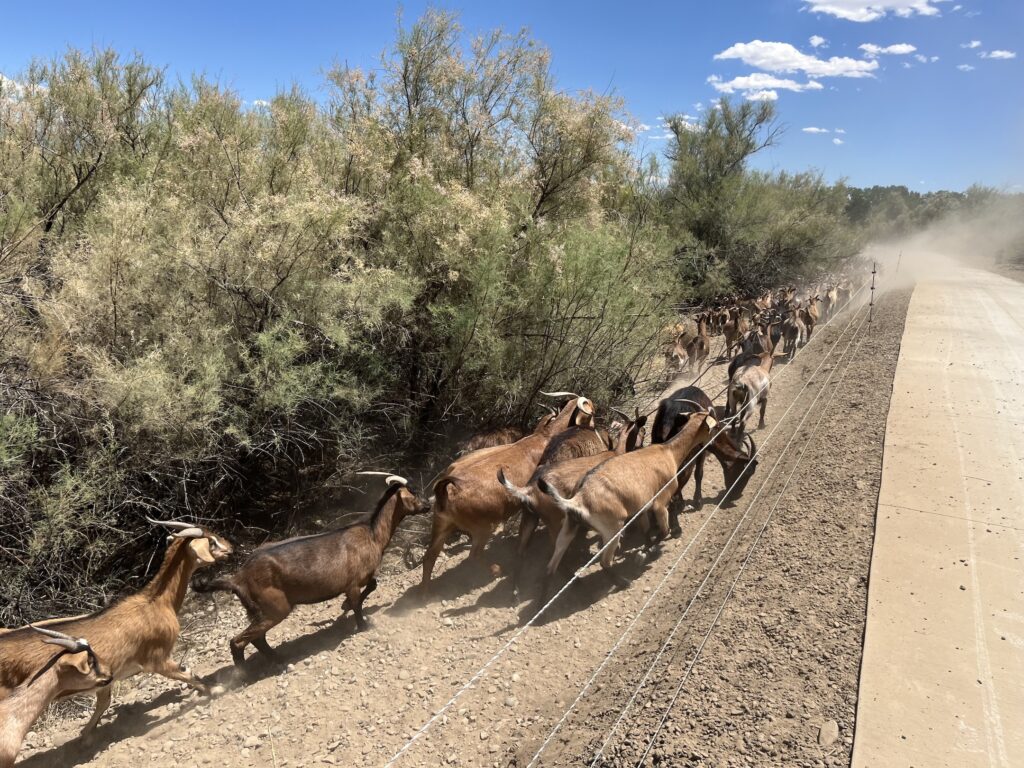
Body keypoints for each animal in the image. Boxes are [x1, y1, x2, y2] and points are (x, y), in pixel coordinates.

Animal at [0, 520, 232, 740]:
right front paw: (215, 689)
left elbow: (104, 703)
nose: (230, 548)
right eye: (211, 541)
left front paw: (86, 736)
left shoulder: (106, 678)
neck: (155, 602)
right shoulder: (156, 659)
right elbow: (187, 673)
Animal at [196, 474, 428, 665]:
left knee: (257, 639)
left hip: (259, 611)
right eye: (414, 493)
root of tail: (238, 578)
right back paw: (244, 673)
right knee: (238, 641)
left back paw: (278, 659)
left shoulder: (360, 580)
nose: (428, 505)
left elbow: (371, 586)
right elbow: (357, 604)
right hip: (274, 608)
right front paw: (362, 625)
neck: (372, 534)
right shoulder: (352, 583)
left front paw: (344, 605)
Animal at [419, 393, 595, 594]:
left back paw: (424, 593)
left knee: (429, 556)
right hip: (483, 528)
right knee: (474, 554)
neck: (544, 437)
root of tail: (447, 490)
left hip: (442, 526)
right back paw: (496, 570)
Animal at [498, 408, 646, 600]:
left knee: (520, 550)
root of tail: (529, 490)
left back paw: (516, 591)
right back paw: (576, 582)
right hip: (555, 521)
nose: (643, 444)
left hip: (530, 517)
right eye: (643, 431)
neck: (615, 453)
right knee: (554, 554)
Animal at [537, 409, 718, 588]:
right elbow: (663, 532)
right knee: (604, 562)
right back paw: (622, 581)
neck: (669, 452)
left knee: (551, 567)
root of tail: (578, 500)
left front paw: (647, 549)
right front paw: (643, 555)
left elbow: (646, 531)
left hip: (569, 526)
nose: (714, 442)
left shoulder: (642, 507)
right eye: (713, 426)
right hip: (612, 529)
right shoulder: (660, 502)